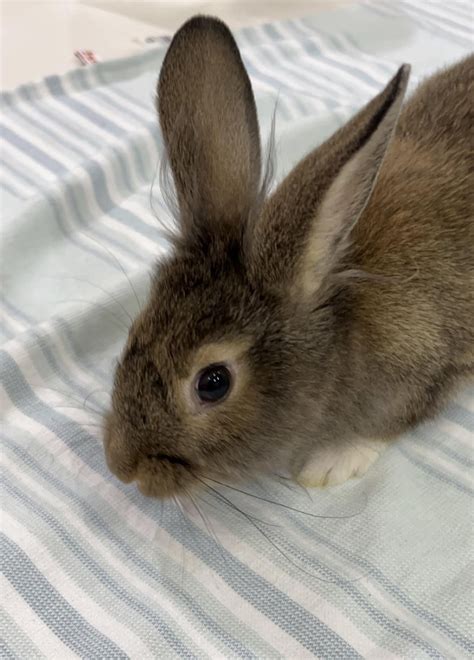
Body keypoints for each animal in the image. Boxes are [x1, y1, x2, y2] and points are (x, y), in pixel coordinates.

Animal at [103, 16, 474, 498]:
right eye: (134, 333)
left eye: (213, 383)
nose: (120, 465)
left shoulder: (432, 367)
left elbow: (393, 421)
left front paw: (330, 463)